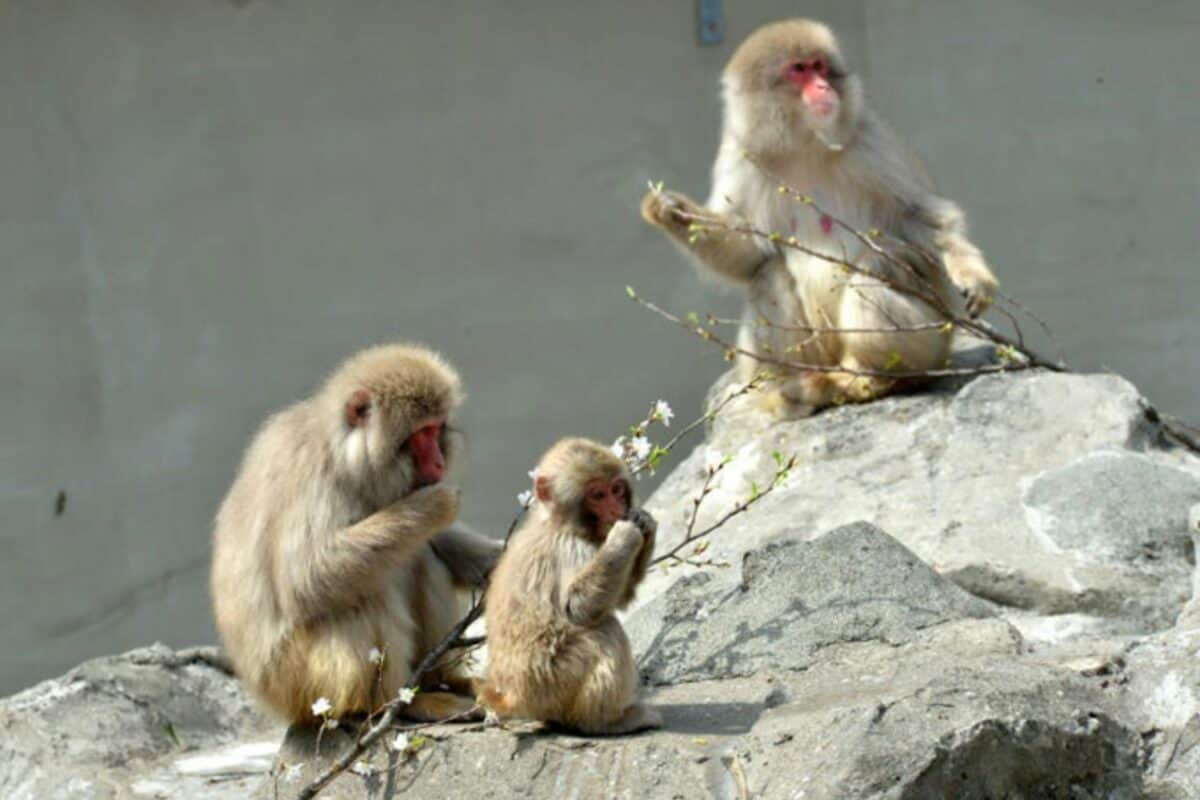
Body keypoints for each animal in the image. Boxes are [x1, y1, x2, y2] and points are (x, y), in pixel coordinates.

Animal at [210, 343, 502, 725]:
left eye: (437, 428)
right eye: (422, 434)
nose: (439, 463)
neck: (343, 454)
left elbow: (434, 539)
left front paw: (502, 560)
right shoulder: (314, 478)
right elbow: (307, 580)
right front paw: (436, 503)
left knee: (419, 558)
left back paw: (441, 681)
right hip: (303, 684)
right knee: (364, 593)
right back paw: (395, 702)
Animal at [479, 438, 662, 735]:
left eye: (616, 489)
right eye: (597, 495)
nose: (616, 511)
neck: (559, 522)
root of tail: (512, 697)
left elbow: (617, 599)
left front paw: (646, 524)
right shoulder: (570, 546)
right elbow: (577, 608)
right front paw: (624, 536)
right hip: (551, 681)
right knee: (604, 631)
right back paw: (604, 721)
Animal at [642, 18, 999, 417]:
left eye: (820, 66)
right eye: (799, 70)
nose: (823, 86)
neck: (804, 142)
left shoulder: (869, 138)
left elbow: (919, 218)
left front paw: (972, 274)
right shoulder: (740, 153)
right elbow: (750, 252)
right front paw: (668, 211)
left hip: (933, 342)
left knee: (870, 277)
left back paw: (871, 379)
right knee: (769, 275)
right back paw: (796, 388)